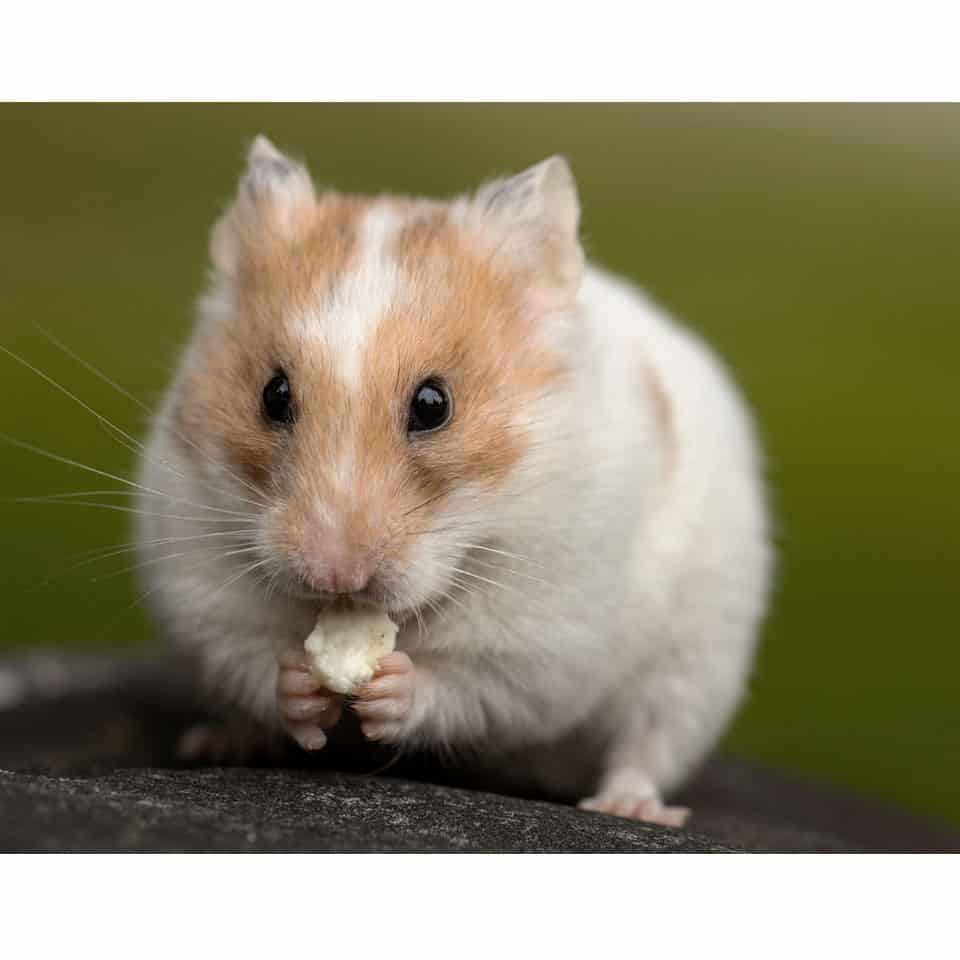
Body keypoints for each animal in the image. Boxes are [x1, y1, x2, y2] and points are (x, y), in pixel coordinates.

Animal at [136, 135, 772, 826]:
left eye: (433, 405)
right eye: (273, 395)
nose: (335, 576)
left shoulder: (541, 639)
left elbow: (467, 687)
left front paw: (390, 687)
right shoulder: (204, 590)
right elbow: (253, 660)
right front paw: (303, 684)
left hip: (696, 663)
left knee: (647, 743)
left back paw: (630, 807)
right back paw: (216, 742)